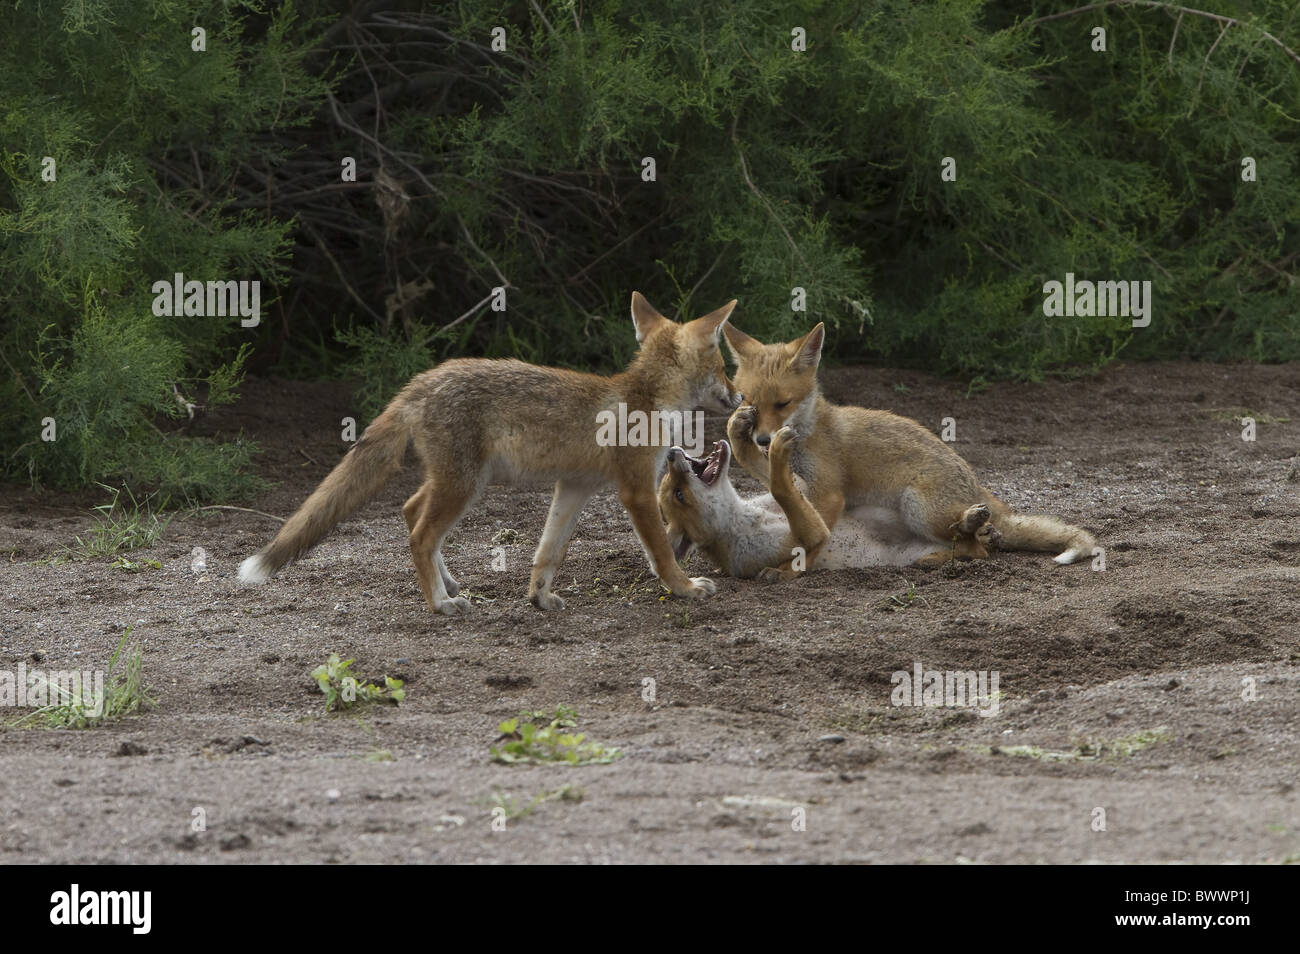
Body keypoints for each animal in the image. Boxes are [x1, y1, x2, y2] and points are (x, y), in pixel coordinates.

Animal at [238, 292, 741, 615]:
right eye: (723, 368)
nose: (739, 397)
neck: (646, 399)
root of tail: (423, 379)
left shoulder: (574, 486)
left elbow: (548, 551)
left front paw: (539, 599)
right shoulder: (635, 489)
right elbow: (662, 552)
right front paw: (683, 588)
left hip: (455, 480)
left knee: (410, 511)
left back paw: (445, 583)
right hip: (466, 484)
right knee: (420, 534)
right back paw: (440, 603)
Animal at [716, 322, 1096, 575]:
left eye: (783, 403)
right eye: (750, 402)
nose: (763, 439)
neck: (810, 431)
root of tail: (977, 486)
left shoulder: (828, 494)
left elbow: (814, 538)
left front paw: (792, 570)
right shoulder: (799, 482)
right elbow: (758, 467)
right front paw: (737, 433)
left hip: (917, 507)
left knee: (980, 550)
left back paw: (946, 550)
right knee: (977, 539)